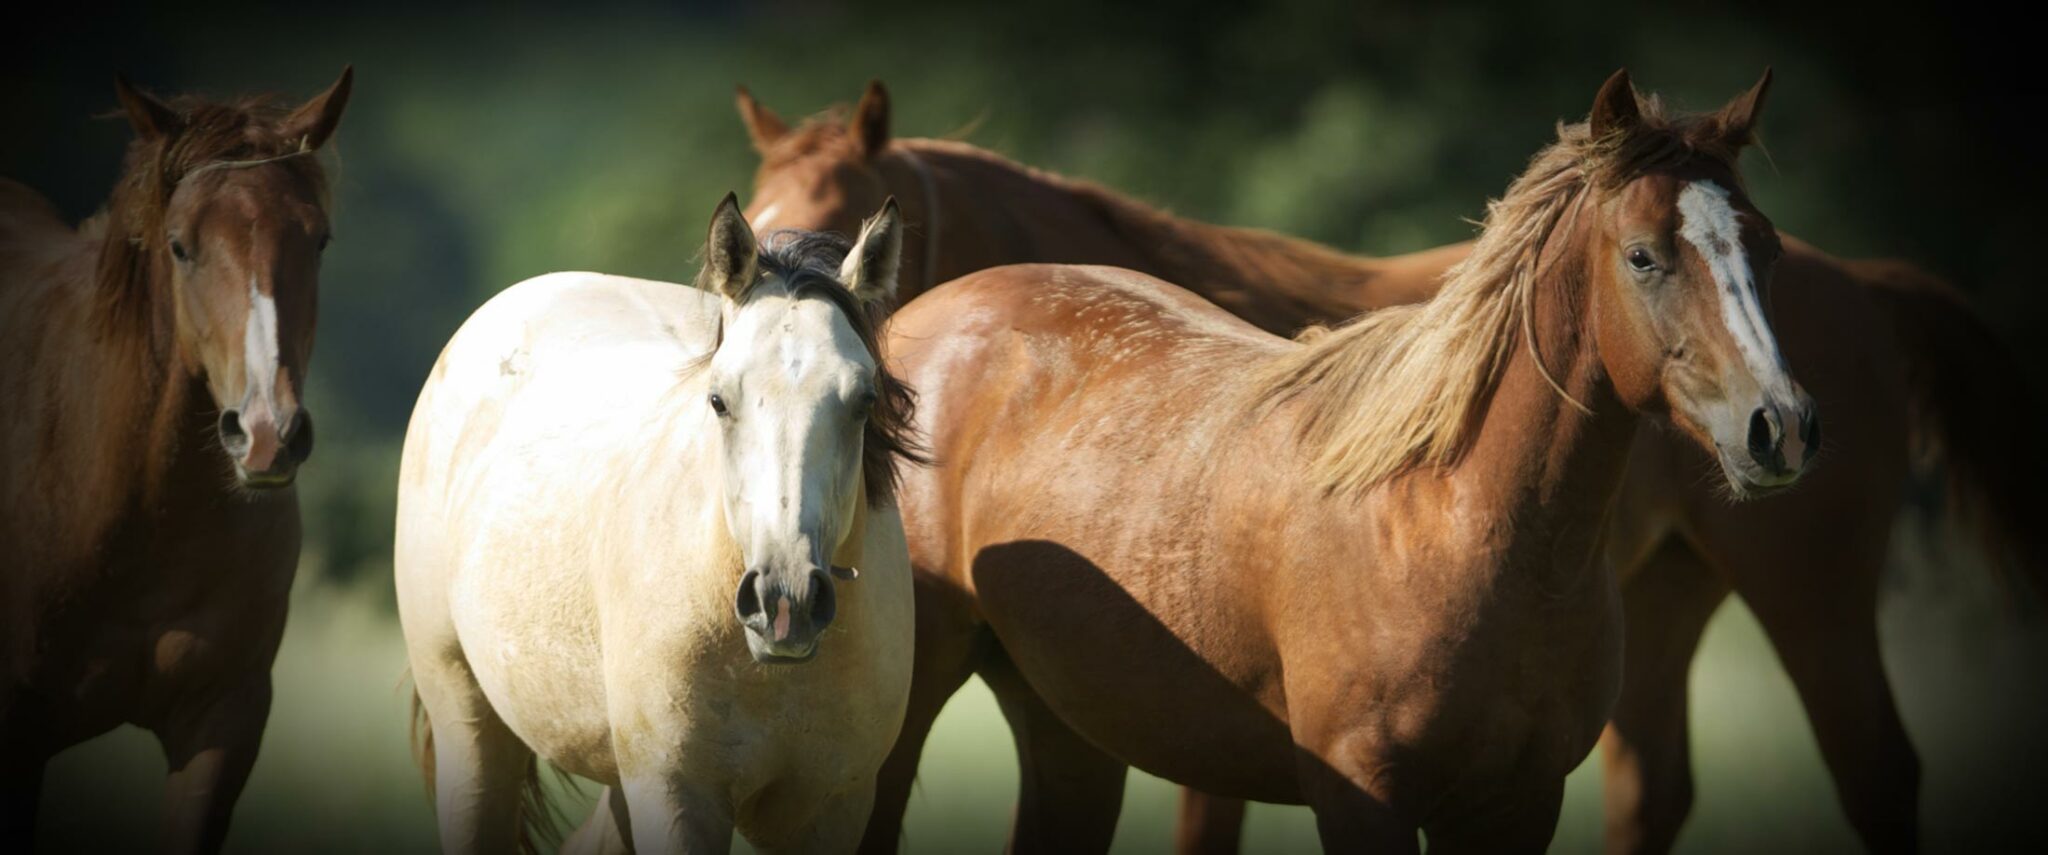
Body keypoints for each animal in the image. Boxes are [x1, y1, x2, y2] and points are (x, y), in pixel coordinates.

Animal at [396, 195, 923, 853]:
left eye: (864, 401)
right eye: (719, 400)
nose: (785, 600)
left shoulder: (830, 810)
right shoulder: (676, 795)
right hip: (467, 721)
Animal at [739, 78, 2044, 853]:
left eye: (1757, 249)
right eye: (1642, 254)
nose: (1780, 427)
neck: (1452, 519)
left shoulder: (1514, 802)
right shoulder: (1355, 797)